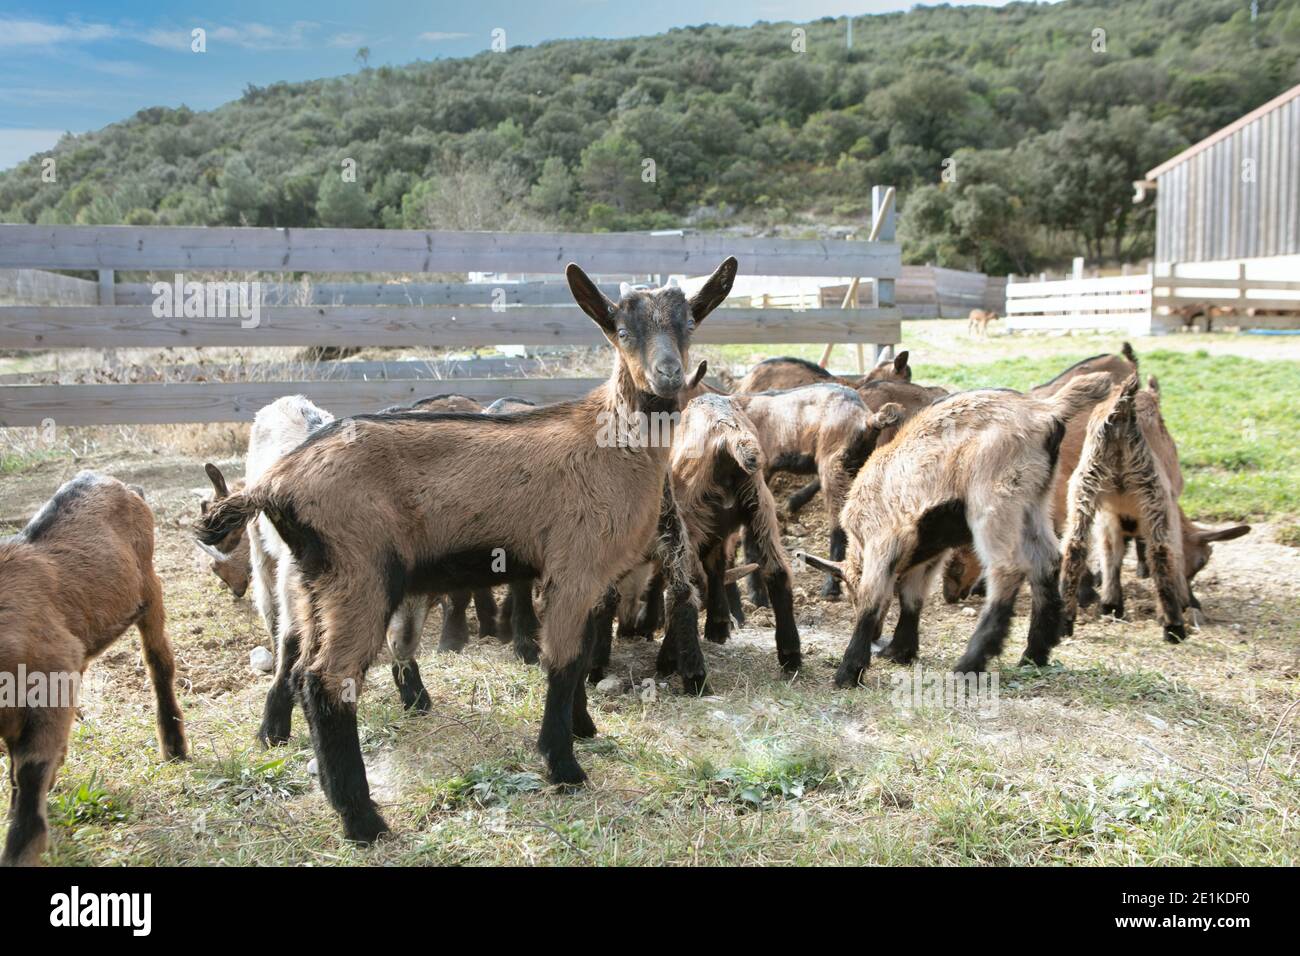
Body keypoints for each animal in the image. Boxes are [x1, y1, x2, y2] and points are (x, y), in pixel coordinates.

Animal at [1, 472, 186, 866]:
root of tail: (117, 482)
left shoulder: (50, 676)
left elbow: (28, 772)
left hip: (150, 588)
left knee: (159, 662)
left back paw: (175, 747)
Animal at [196, 258, 737, 843]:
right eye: (620, 329)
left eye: (690, 322)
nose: (667, 376)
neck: (608, 444)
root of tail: (277, 482)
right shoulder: (572, 565)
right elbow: (562, 661)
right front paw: (563, 765)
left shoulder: (594, 577)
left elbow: (584, 650)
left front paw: (584, 728)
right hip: (359, 574)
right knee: (327, 680)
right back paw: (363, 820)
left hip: (315, 577)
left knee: (299, 663)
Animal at [800, 374, 1115, 686]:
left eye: (851, 592)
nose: (878, 635)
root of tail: (1046, 410)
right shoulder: (928, 549)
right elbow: (913, 594)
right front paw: (900, 650)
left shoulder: (883, 538)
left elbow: (872, 596)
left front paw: (850, 670)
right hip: (1034, 500)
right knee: (1046, 562)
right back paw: (1034, 655)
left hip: (994, 499)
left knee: (1007, 568)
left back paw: (970, 663)